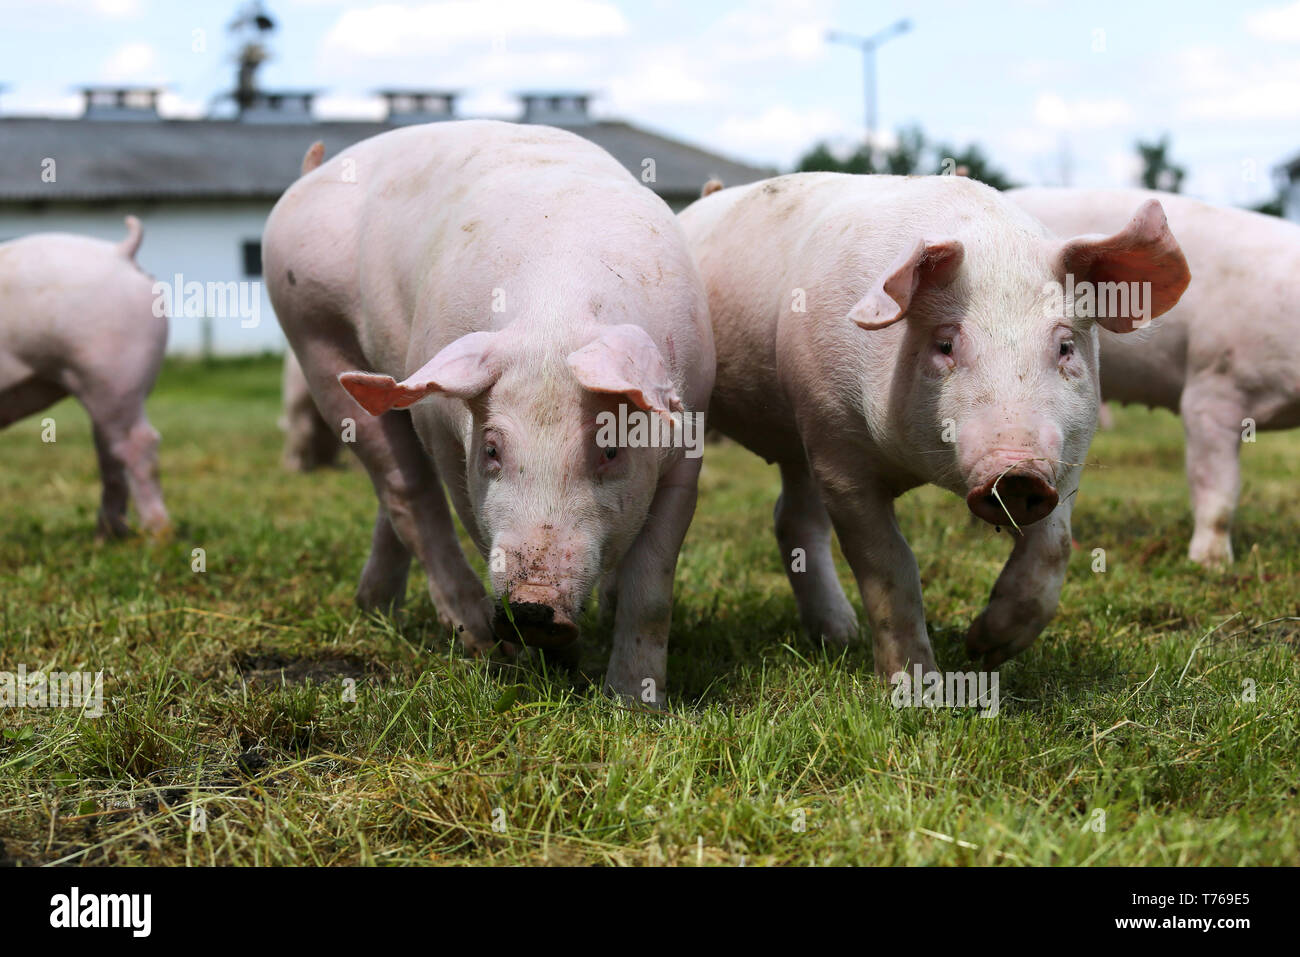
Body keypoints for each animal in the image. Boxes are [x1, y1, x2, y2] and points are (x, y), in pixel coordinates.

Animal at [0, 217, 170, 538]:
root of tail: (119, 252)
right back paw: (106, 538)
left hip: (111, 371)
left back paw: (157, 536)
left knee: (140, 443)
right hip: (110, 388)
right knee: (111, 452)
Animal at [262, 120, 714, 702]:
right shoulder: (449, 440)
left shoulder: (688, 446)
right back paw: (475, 639)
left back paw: (376, 608)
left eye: (611, 449)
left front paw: (634, 702)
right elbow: (470, 520)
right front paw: (541, 663)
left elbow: (652, 588)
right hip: (314, 333)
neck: (553, 317)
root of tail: (311, 173)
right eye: (493, 449)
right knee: (407, 488)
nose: (534, 608)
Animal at [678, 173, 1189, 672]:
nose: (1017, 472)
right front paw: (921, 686)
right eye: (945, 344)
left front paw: (985, 649)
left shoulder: (1069, 455)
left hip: (799, 439)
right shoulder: (836, 446)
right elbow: (891, 568)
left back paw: (841, 638)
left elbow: (1054, 546)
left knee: (793, 520)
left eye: (1065, 347)